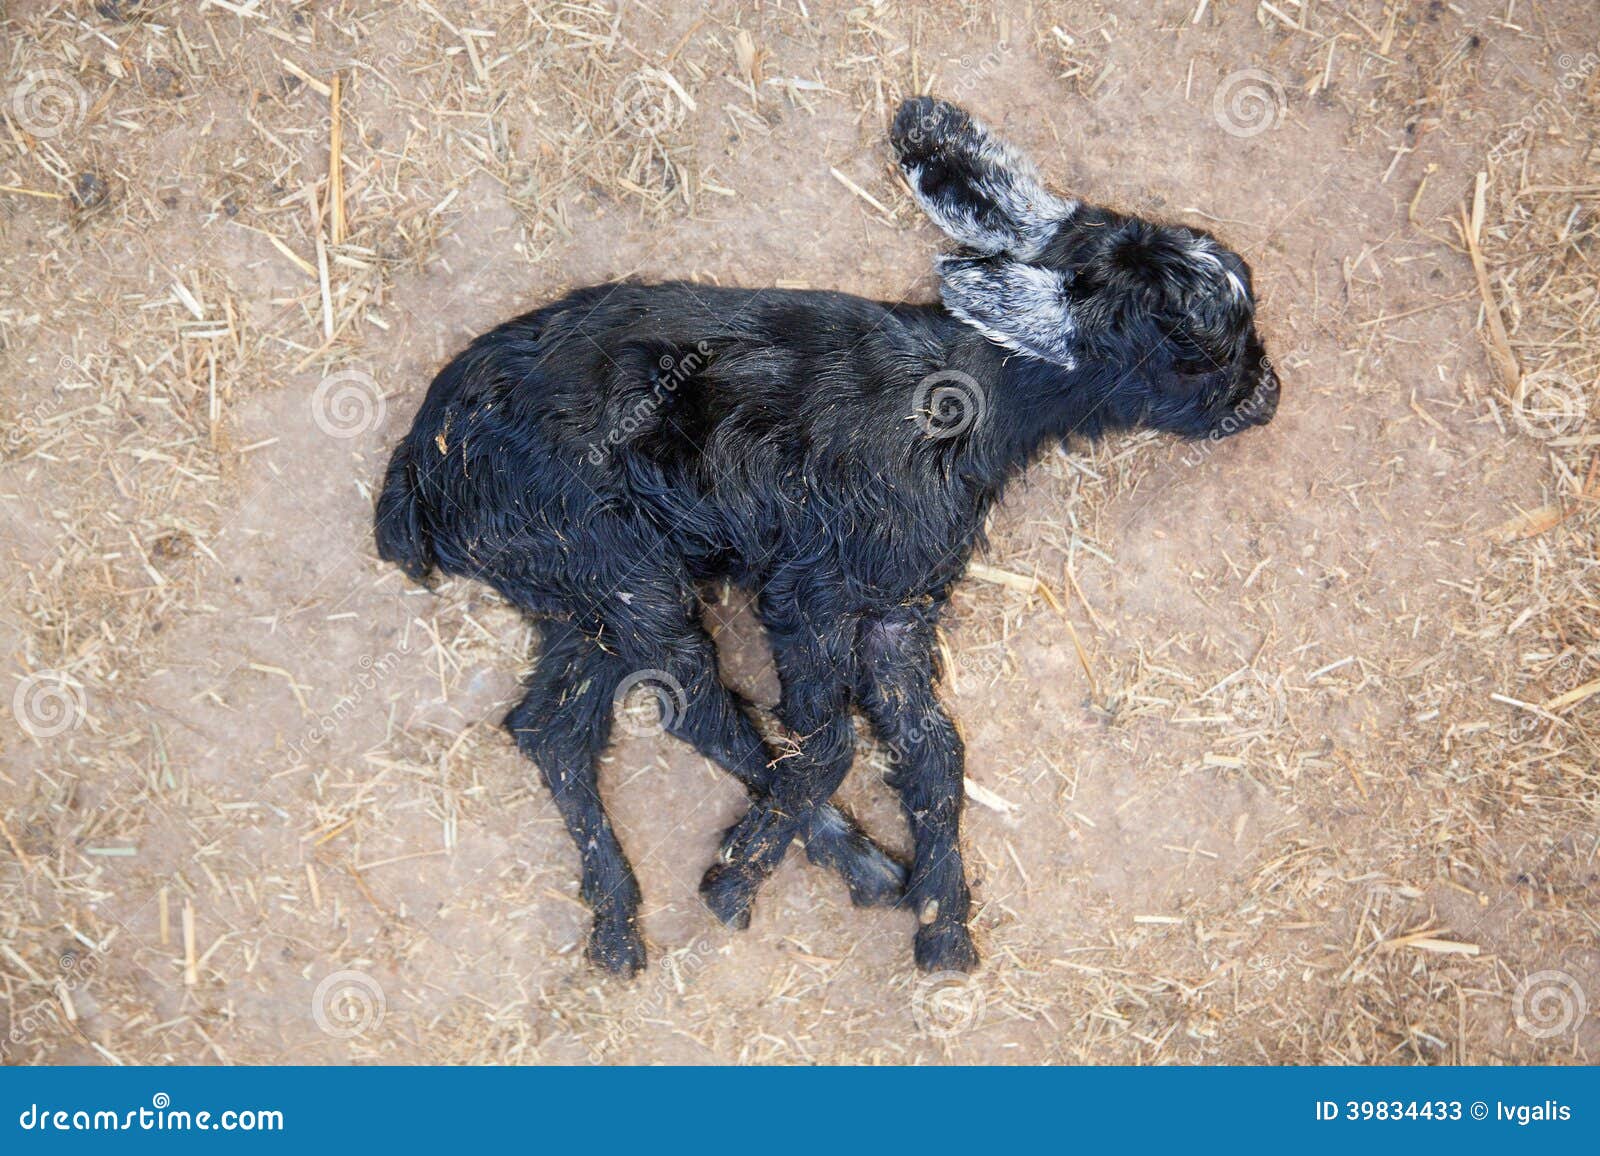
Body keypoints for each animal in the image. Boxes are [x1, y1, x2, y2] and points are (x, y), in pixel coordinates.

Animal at [374, 97, 1279, 976]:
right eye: (1195, 355)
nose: (1265, 395)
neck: (960, 398)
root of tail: (421, 465)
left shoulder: (897, 608)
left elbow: (934, 749)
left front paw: (944, 930)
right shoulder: (811, 590)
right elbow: (833, 739)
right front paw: (740, 878)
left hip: (571, 588)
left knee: (552, 728)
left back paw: (618, 927)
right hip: (612, 565)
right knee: (689, 705)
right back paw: (849, 867)